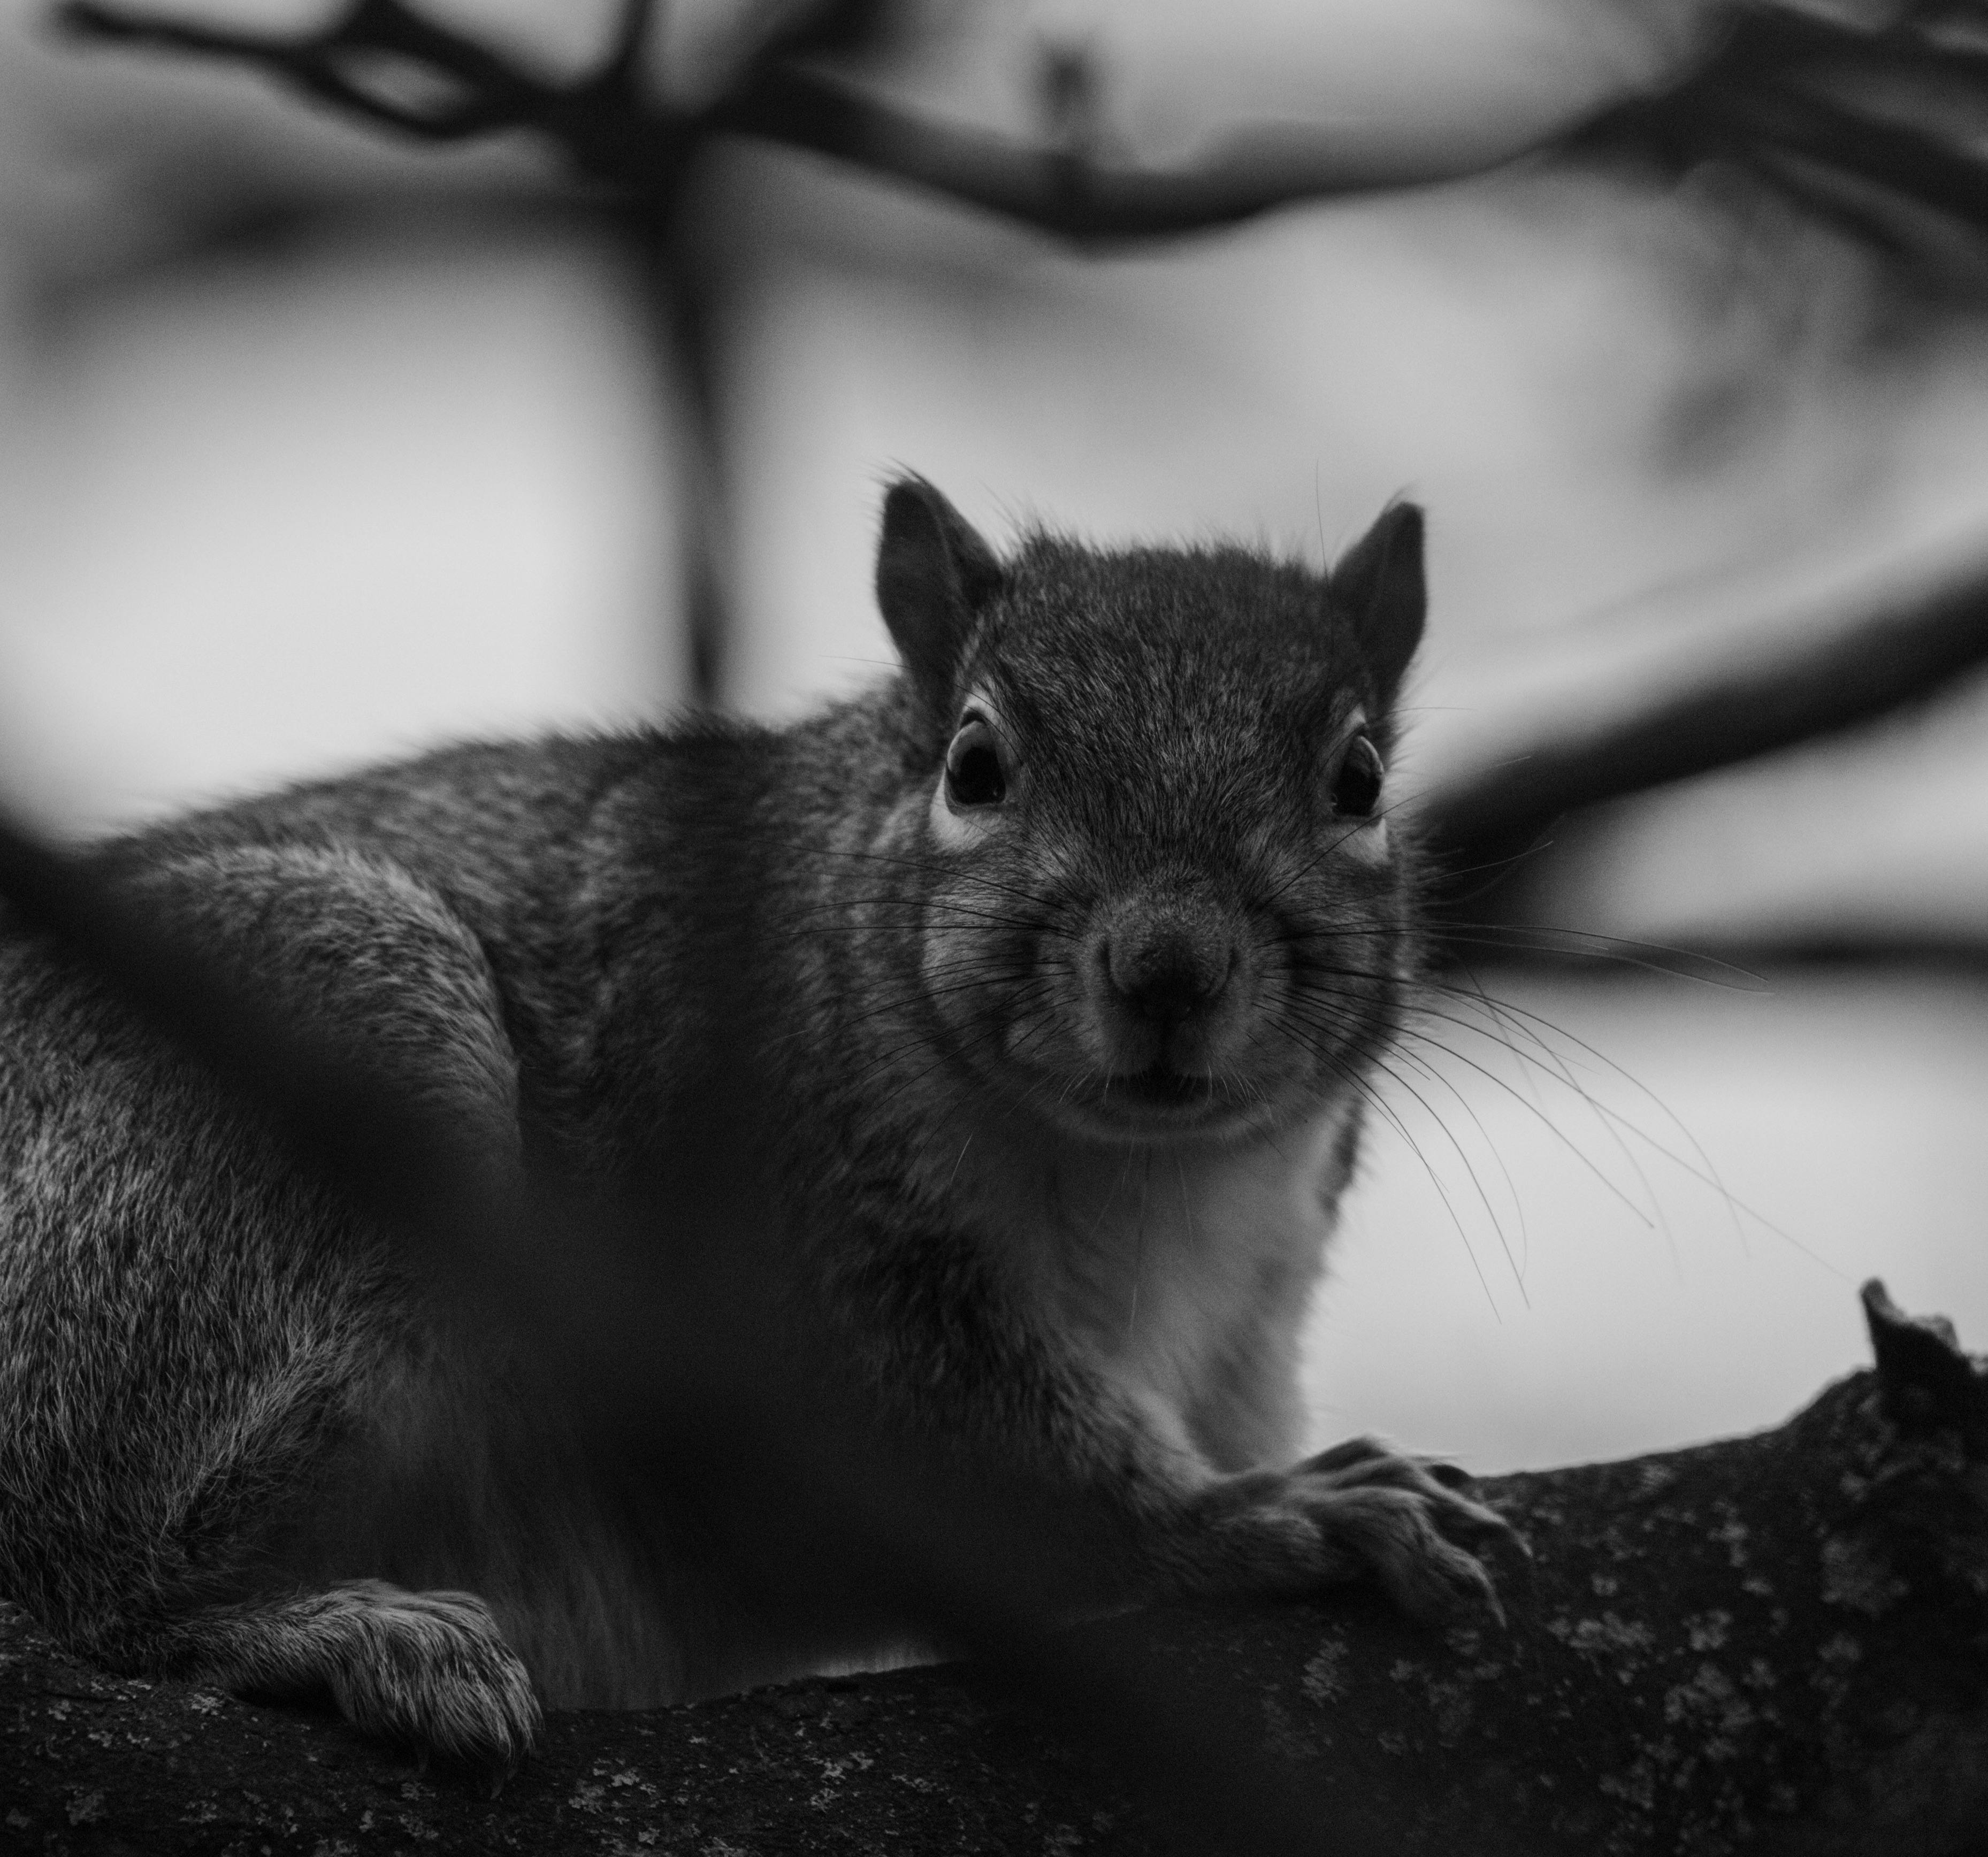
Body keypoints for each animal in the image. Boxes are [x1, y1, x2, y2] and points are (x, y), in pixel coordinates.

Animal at [0, 476, 1506, 1767]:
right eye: (974, 765)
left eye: (1359, 781)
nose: (1168, 967)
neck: (1141, 1176)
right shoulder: (764, 1225)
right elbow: (982, 1468)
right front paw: (1254, 1513)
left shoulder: (1252, 1318)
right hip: (323, 1029)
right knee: (87, 1581)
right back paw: (328, 1628)